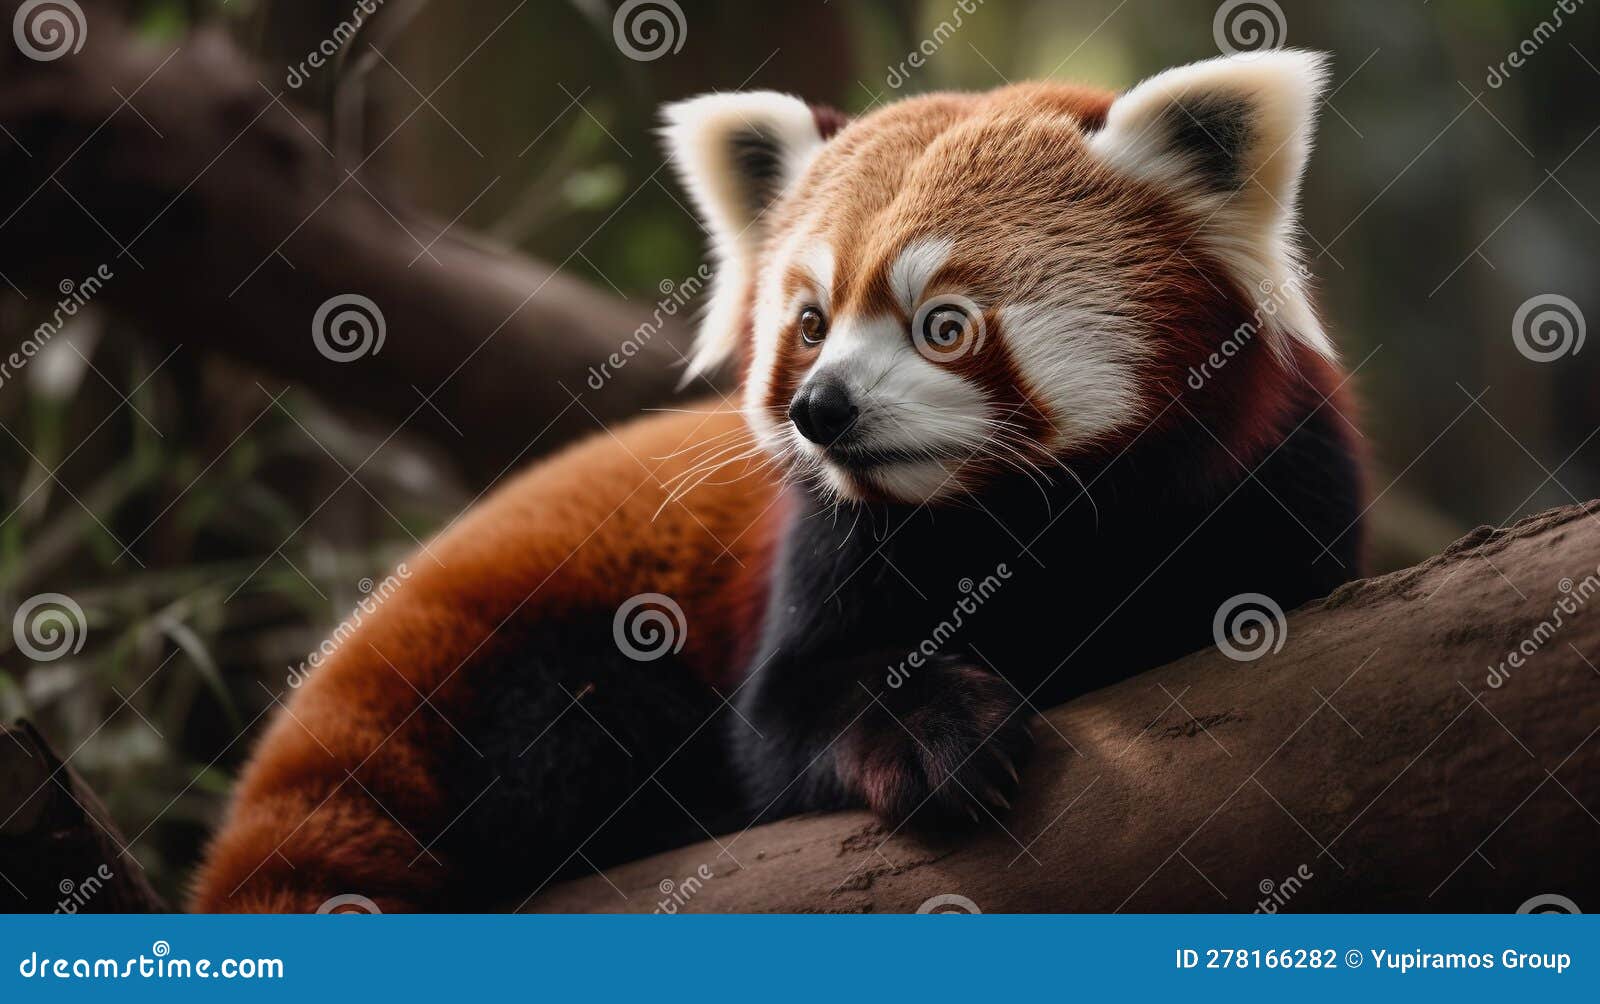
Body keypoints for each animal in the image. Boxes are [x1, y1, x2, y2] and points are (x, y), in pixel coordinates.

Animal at [190, 50, 1365, 912]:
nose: (822, 409)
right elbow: (781, 717)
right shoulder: (818, 547)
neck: (1005, 518)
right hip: (516, 654)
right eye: (810, 323)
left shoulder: (1272, 473)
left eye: (944, 324)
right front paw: (931, 729)